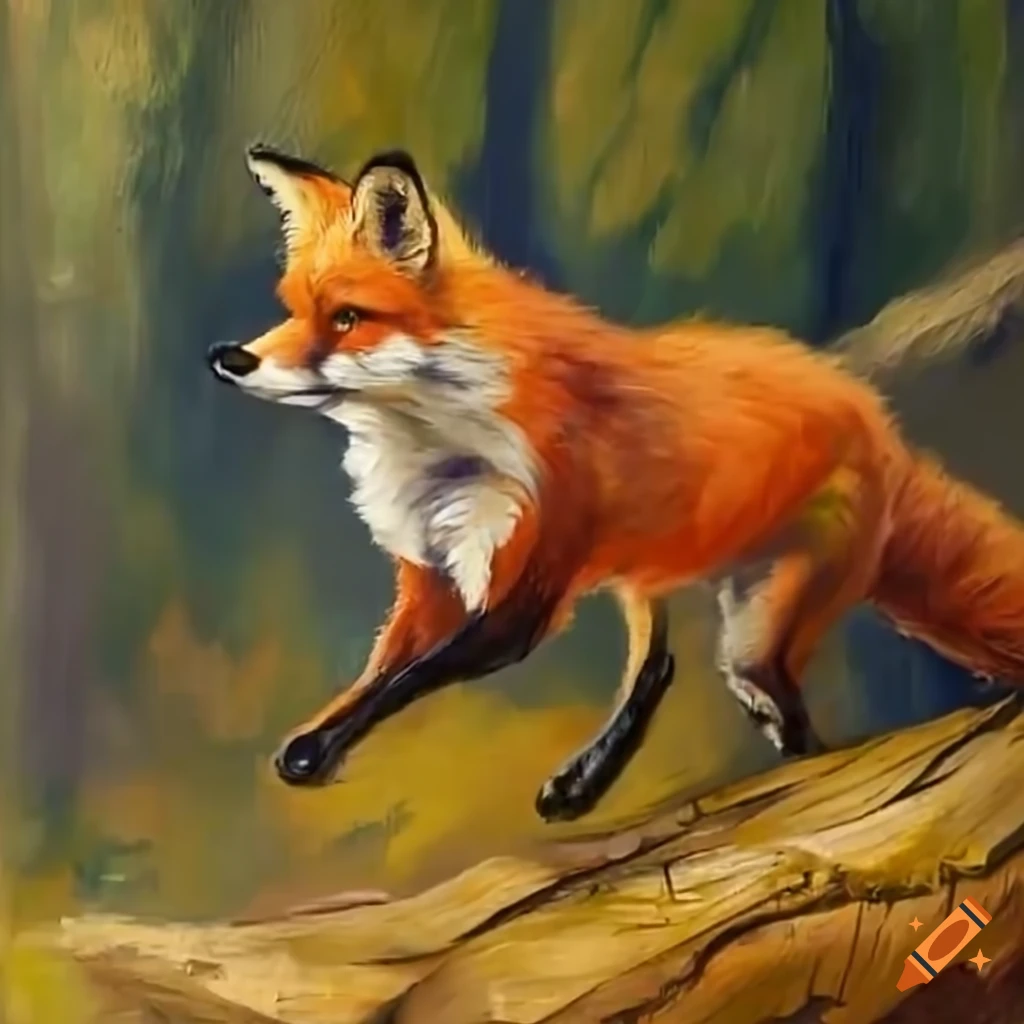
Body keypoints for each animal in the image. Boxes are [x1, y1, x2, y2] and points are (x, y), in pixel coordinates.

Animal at [208, 143, 1024, 822]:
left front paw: (316, 752)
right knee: (660, 667)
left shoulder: (529, 584)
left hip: (757, 630)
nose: (230, 359)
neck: (441, 442)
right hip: (660, 583)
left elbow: (412, 677)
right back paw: (585, 784)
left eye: (347, 318)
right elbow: (381, 673)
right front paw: (315, 743)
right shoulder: (434, 572)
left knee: (778, 715)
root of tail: (875, 415)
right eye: (292, 309)